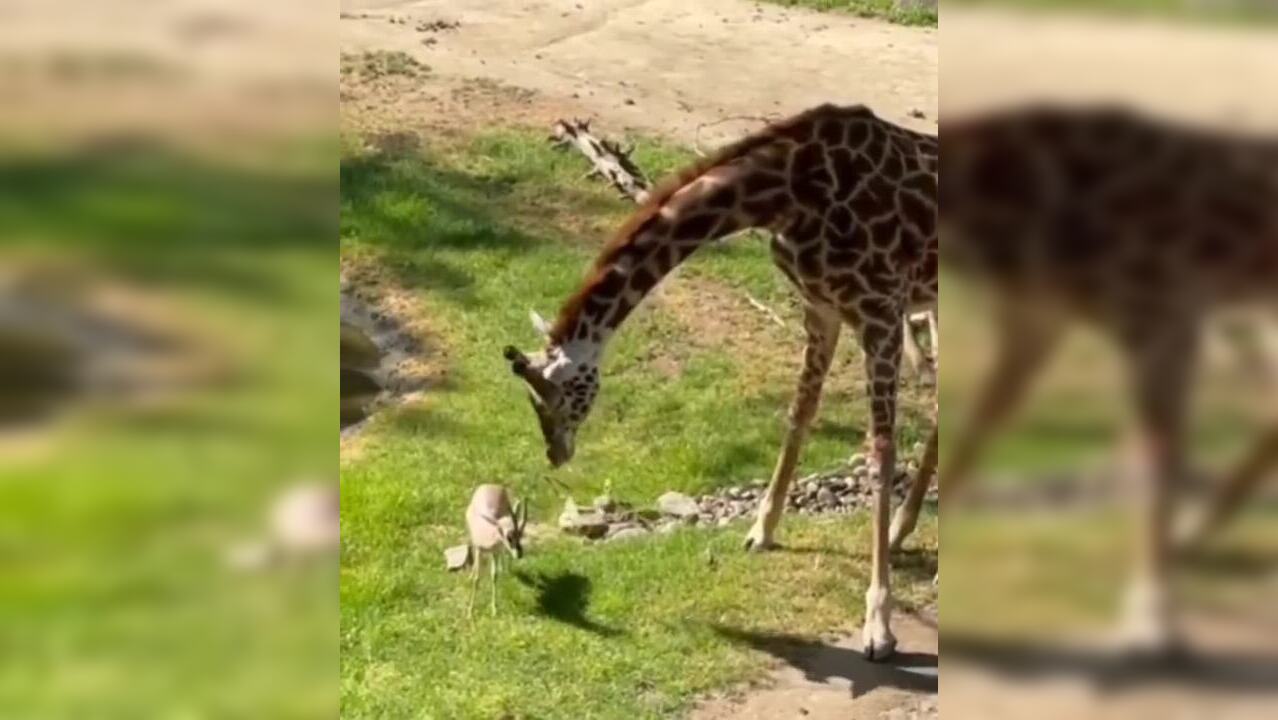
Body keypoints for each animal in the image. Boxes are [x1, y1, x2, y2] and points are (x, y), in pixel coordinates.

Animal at [465, 484, 528, 618]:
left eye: (521, 534)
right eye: (509, 536)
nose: (519, 554)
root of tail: (490, 484)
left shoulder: (495, 551)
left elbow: (494, 576)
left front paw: (494, 609)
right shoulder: (479, 550)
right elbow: (477, 579)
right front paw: (470, 612)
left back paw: (505, 569)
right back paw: (471, 573)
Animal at [502, 104, 937, 660]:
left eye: (557, 397)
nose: (556, 453)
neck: (788, 193)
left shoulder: (880, 311)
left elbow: (880, 451)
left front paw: (878, 623)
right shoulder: (820, 306)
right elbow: (799, 413)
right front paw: (761, 529)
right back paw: (904, 527)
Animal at [889, 103, 1278, 653]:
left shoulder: (1163, 318)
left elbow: (1158, 462)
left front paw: (1149, 617)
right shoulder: (1038, 318)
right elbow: (974, 422)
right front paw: (902, 535)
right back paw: (1196, 533)